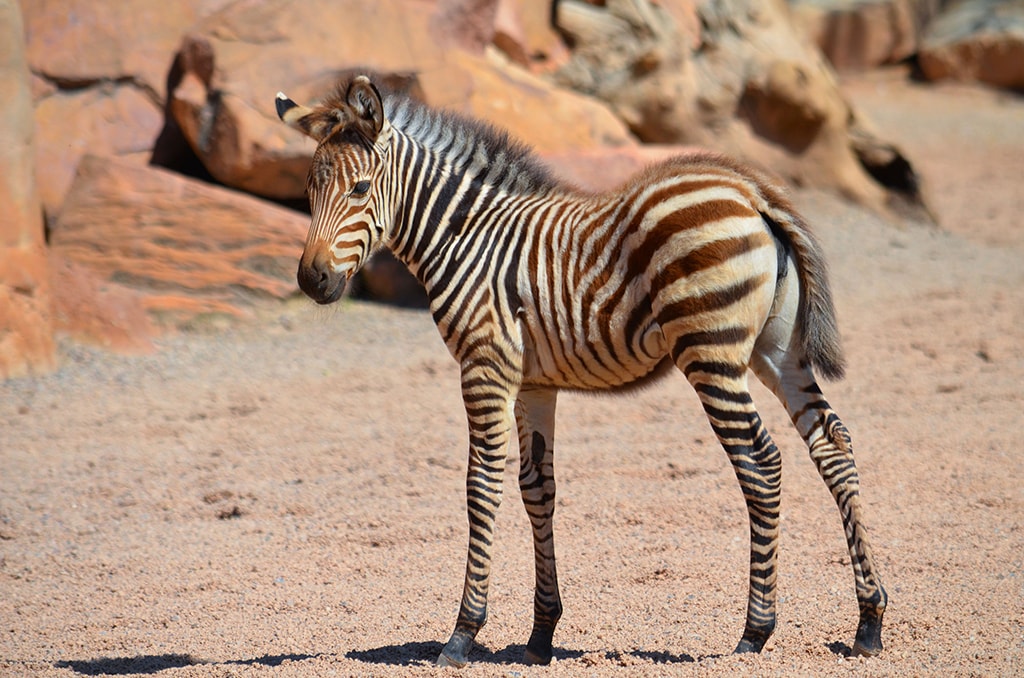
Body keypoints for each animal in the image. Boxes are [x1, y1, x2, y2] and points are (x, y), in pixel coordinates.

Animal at [275, 75, 887, 668]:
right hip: (775, 350)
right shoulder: (534, 384)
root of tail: (751, 192)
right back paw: (869, 621)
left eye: (358, 190)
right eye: (307, 192)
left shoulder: (484, 366)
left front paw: (463, 635)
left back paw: (755, 632)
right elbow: (536, 489)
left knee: (761, 463)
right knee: (832, 443)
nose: (311, 281)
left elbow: (482, 487)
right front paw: (541, 634)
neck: (464, 238)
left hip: (711, 354)